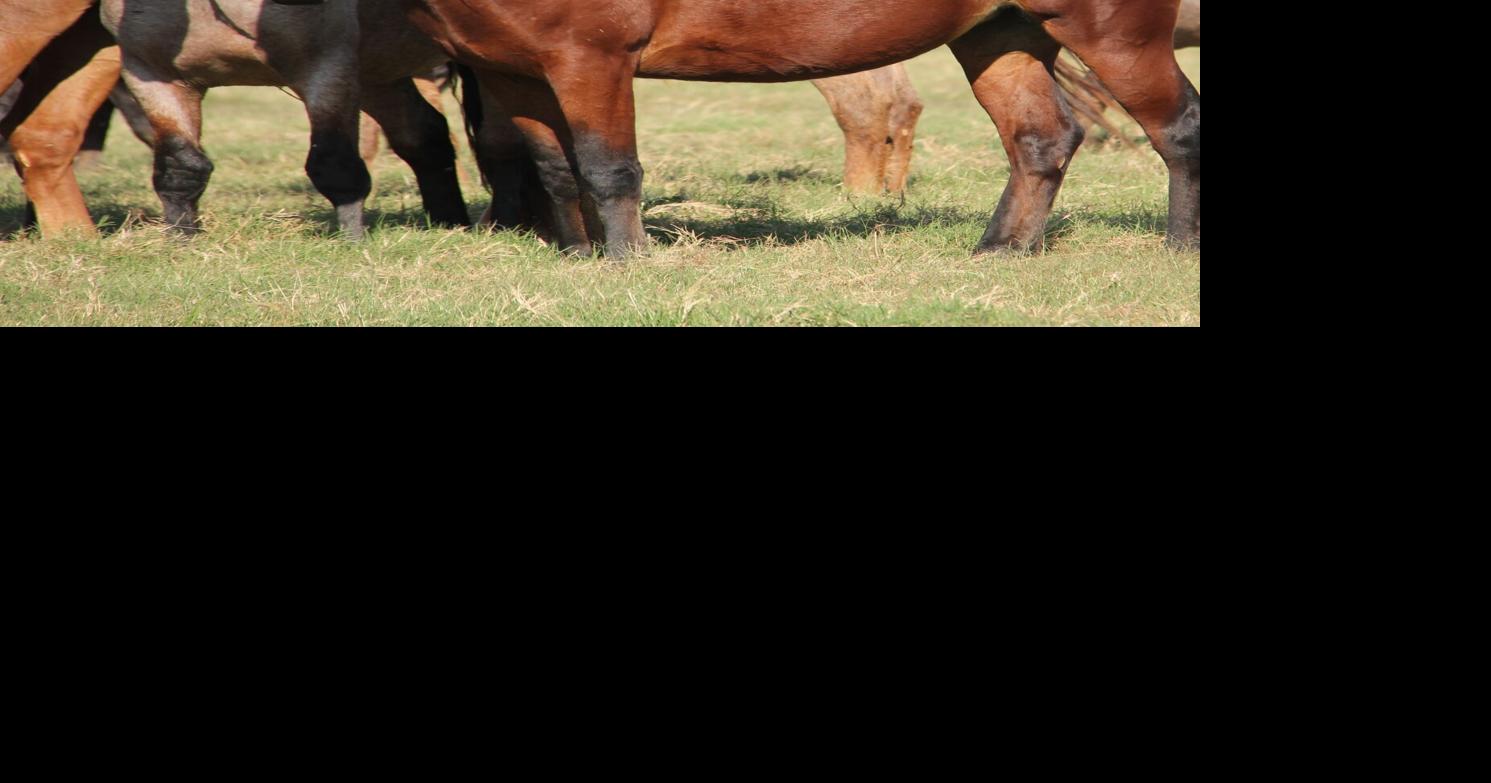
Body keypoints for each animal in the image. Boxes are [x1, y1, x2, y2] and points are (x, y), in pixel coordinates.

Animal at [405, 0, 1200, 259]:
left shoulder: (590, 59)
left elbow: (608, 167)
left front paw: (629, 262)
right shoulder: (514, 73)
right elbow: (552, 168)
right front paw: (577, 257)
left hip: (1113, 31)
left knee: (1178, 129)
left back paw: (1178, 247)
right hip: (1000, 34)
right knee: (1040, 139)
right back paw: (999, 251)